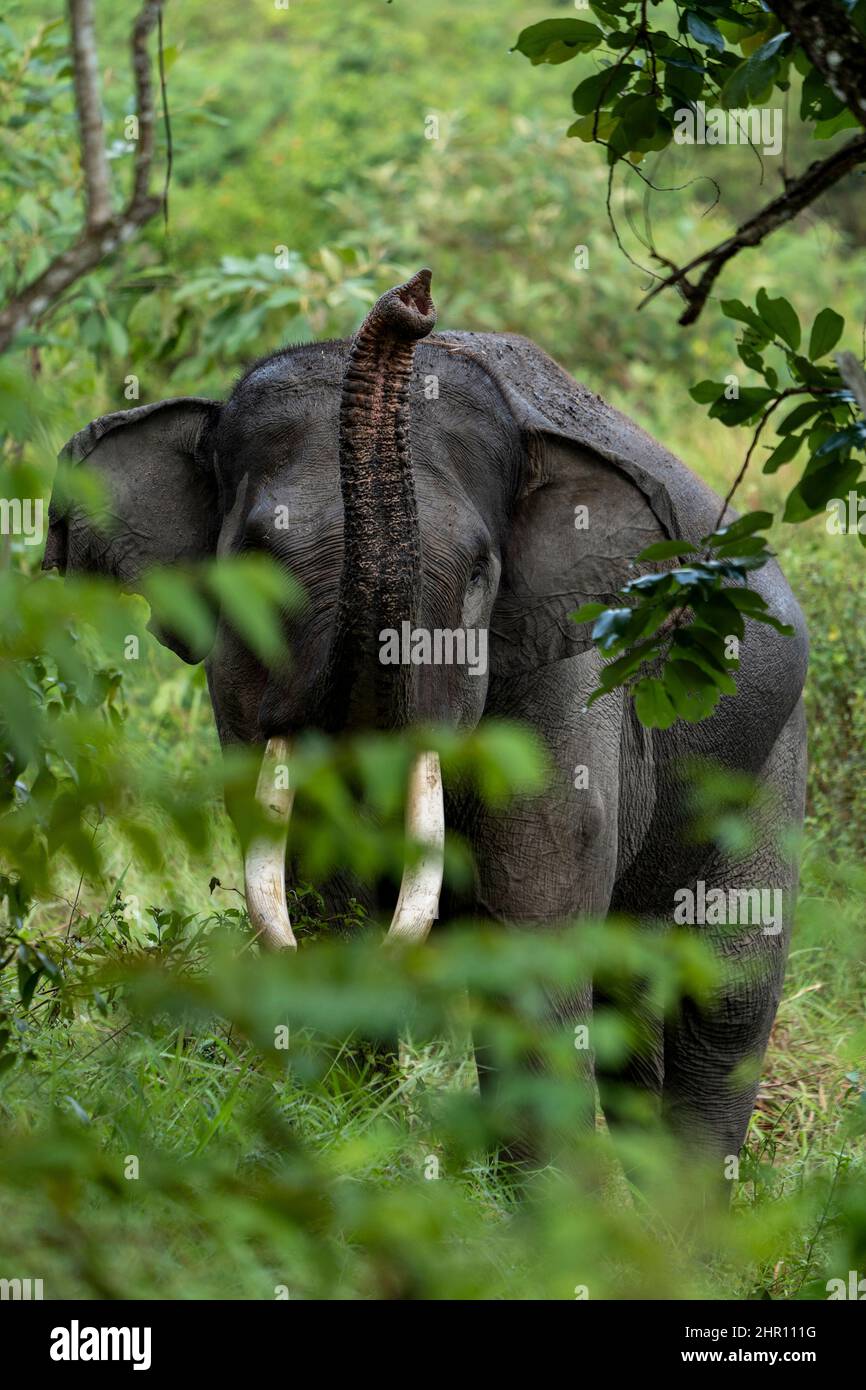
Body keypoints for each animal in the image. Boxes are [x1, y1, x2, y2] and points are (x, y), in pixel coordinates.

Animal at [43, 269, 808, 1169]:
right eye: (255, 561)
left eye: (479, 574)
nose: (414, 296)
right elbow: (320, 903)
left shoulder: (572, 680)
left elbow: (534, 925)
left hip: (769, 759)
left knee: (723, 1000)